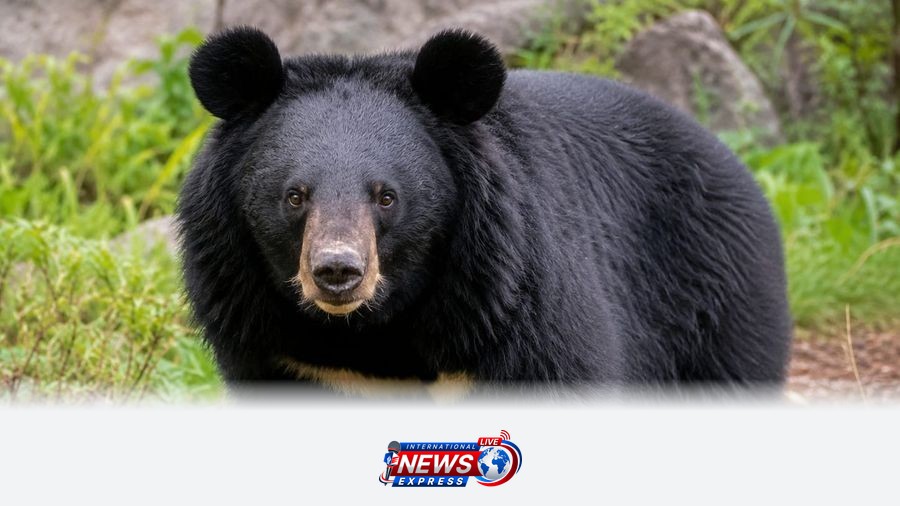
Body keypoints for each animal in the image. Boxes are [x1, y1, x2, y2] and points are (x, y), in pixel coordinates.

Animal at [177, 26, 792, 394]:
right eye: (295, 195)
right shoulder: (275, 341)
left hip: (711, 302)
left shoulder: (512, 297)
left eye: (386, 196)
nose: (337, 272)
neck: (374, 331)